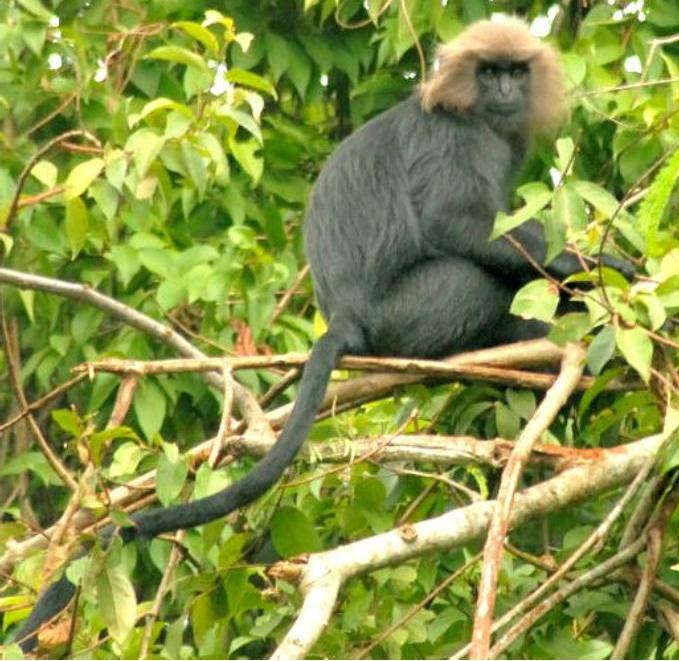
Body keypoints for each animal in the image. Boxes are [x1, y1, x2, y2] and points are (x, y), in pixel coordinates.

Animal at [13, 17, 633, 652]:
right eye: (488, 72)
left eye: (514, 71)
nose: (505, 89)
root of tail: (346, 318)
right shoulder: (458, 140)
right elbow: (458, 225)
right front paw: (606, 266)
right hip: (416, 310)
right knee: (477, 280)